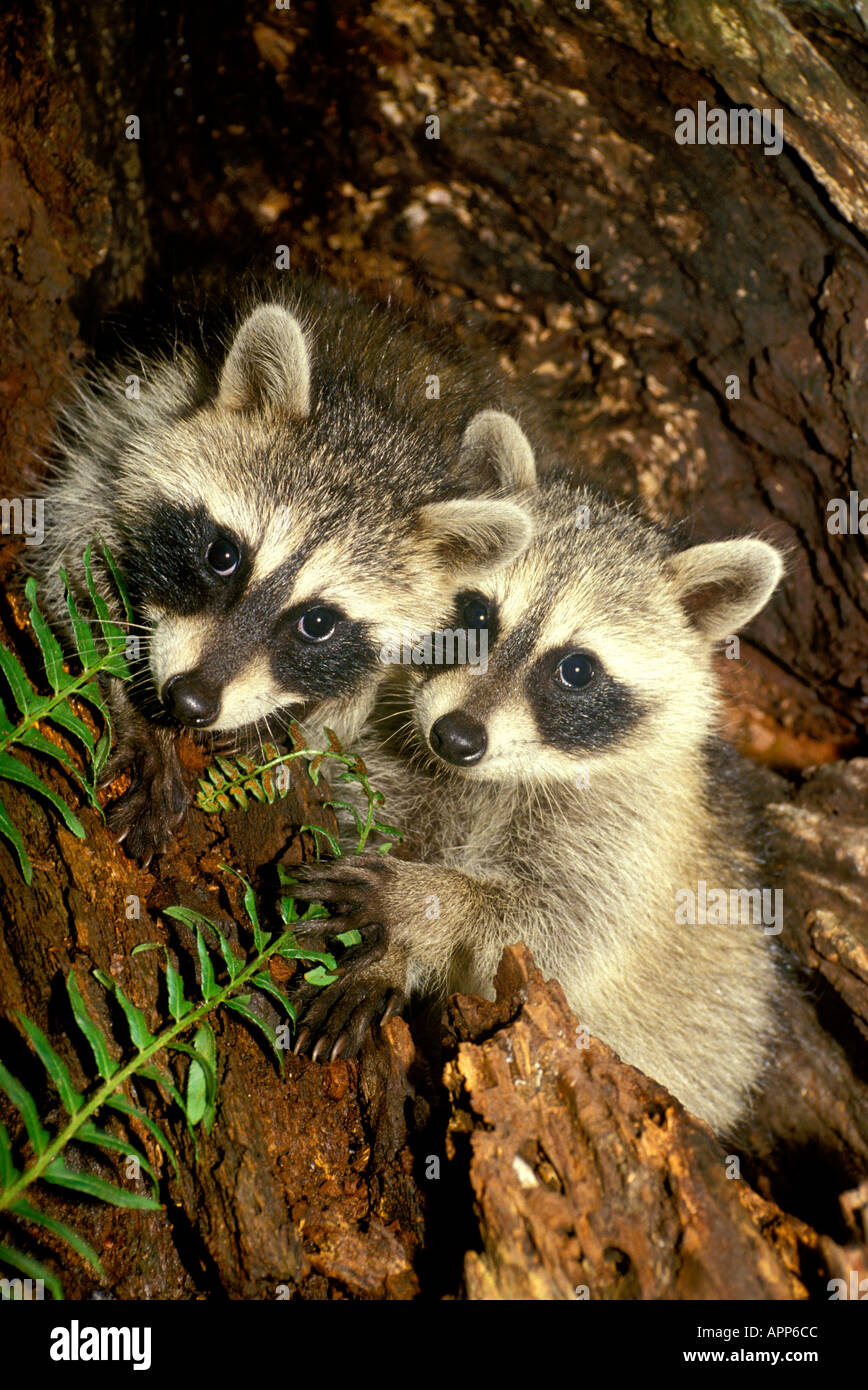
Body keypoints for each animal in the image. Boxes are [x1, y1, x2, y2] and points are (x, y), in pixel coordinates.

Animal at [33, 291, 532, 864]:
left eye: (317, 623)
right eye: (222, 555)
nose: (189, 701)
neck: (379, 424)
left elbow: (366, 701)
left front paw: (291, 726)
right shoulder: (136, 418)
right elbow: (73, 560)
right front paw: (138, 712)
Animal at [289, 411, 786, 1136]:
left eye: (576, 670)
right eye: (475, 614)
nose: (456, 737)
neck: (495, 779)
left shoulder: (633, 834)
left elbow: (554, 932)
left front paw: (425, 908)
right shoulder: (406, 756)